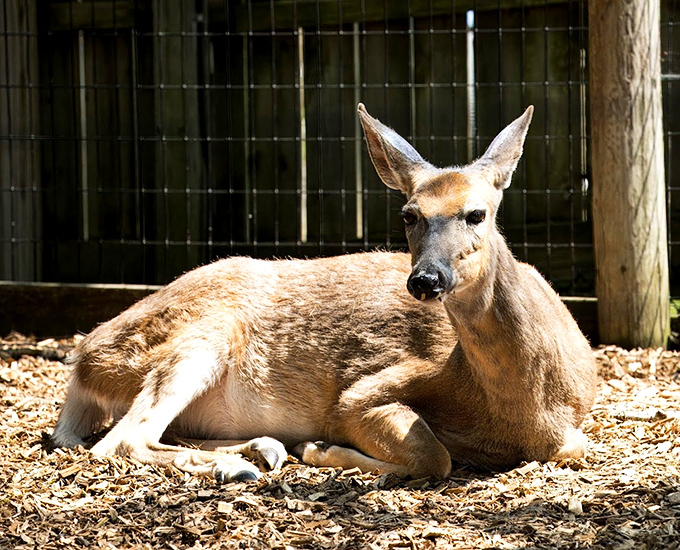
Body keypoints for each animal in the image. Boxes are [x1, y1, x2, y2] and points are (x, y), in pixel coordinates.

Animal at [51, 104, 597, 483]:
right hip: (199, 337)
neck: (521, 414)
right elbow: (433, 456)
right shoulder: (361, 392)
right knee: (121, 441)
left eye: (476, 213)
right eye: (409, 214)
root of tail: (82, 361)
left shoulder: (573, 428)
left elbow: (575, 447)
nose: (425, 279)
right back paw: (247, 464)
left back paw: (262, 450)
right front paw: (320, 450)